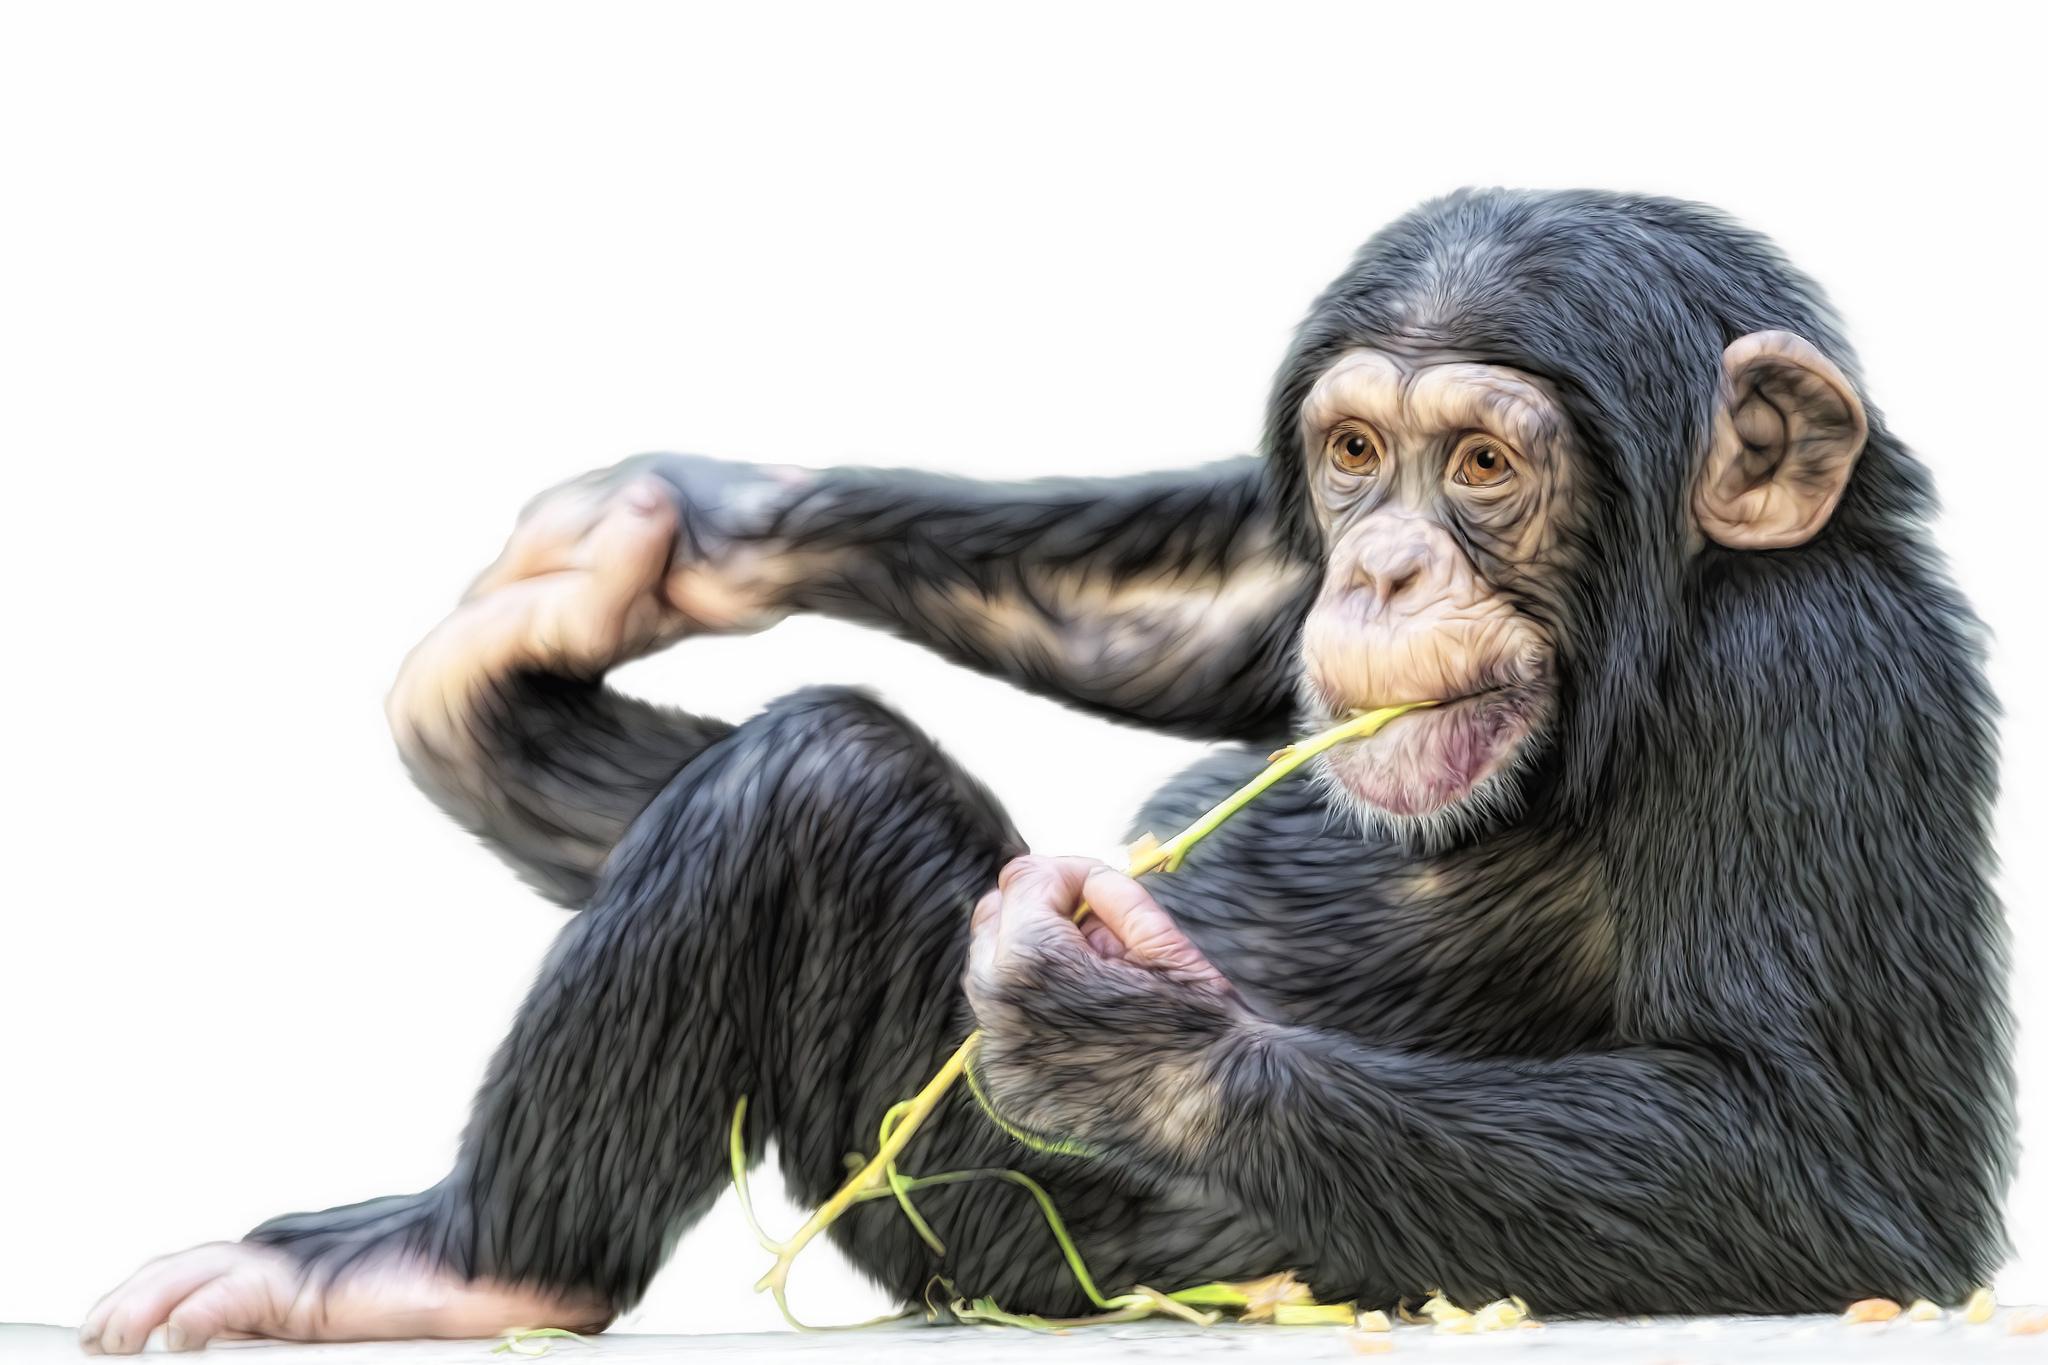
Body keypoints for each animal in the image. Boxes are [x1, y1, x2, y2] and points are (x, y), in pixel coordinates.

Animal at [80, 188, 2009, 1353]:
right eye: (1356, 454)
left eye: (1481, 466)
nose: (1384, 569)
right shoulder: (1263, 581)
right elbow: (1207, 601)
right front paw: (691, 530)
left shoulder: (1810, 682)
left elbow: (1836, 1166)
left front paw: (1119, 1030)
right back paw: (501, 716)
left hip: (1008, 1231)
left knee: (811, 781)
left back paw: (457, 1262)